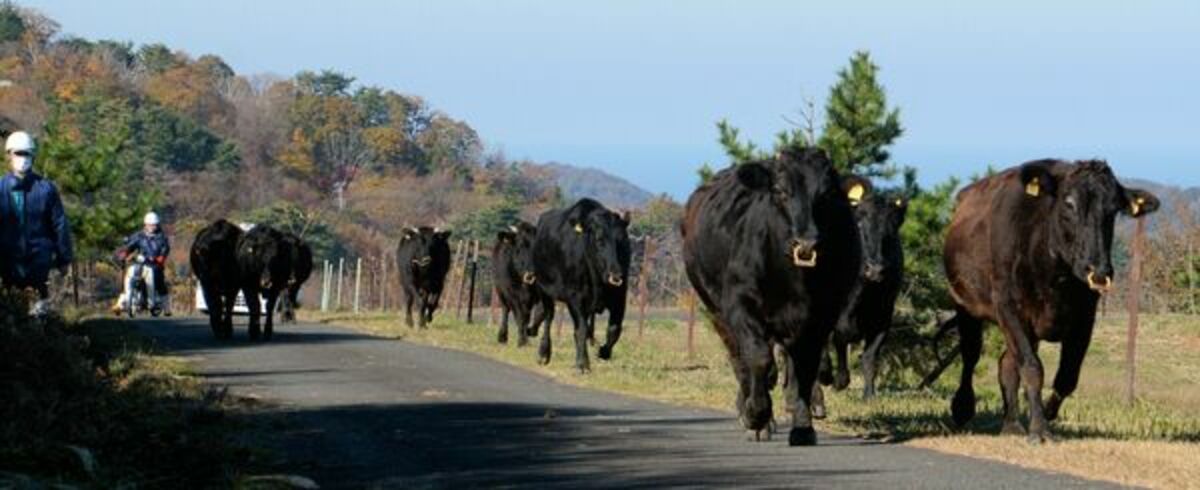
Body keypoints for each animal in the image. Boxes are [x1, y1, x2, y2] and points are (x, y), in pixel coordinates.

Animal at [531, 198, 631, 373]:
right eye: (599, 240)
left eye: (622, 240)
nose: (616, 275)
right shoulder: (575, 298)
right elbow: (582, 330)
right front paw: (582, 364)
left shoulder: (620, 297)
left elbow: (614, 329)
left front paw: (603, 352)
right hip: (544, 290)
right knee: (549, 317)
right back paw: (544, 353)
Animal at [682, 147, 860, 446]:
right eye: (780, 191)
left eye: (826, 194)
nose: (806, 243)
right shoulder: (741, 303)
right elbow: (758, 358)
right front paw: (757, 416)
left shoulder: (822, 315)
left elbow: (805, 366)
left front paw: (803, 426)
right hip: (716, 310)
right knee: (740, 359)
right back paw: (752, 414)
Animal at [943, 159, 1158, 443]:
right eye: (1069, 203)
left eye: (1113, 209)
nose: (1099, 270)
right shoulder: (1009, 307)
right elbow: (1032, 368)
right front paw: (1040, 429)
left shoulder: (1085, 318)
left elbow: (1066, 376)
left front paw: (1047, 413)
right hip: (964, 304)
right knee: (971, 354)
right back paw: (963, 407)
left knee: (1007, 364)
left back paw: (1012, 424)